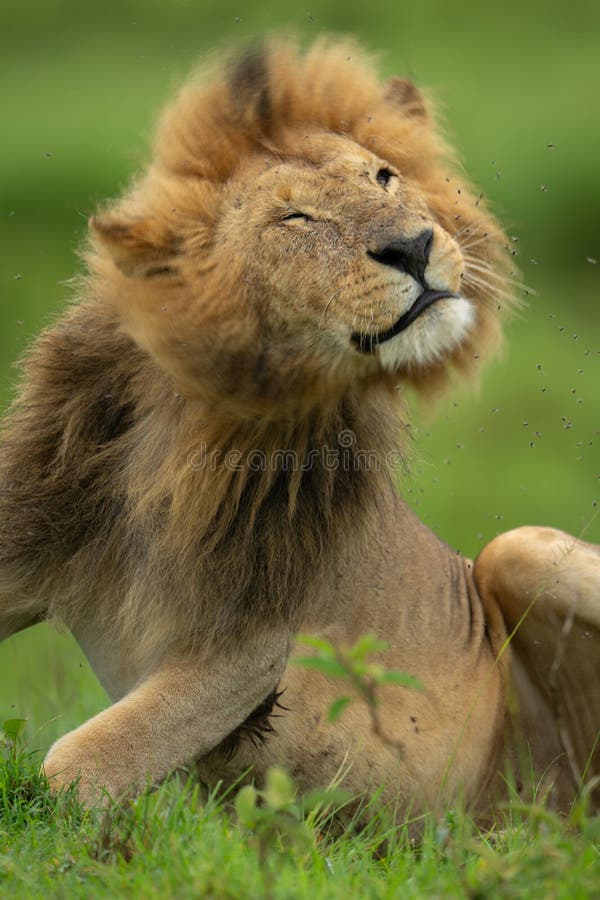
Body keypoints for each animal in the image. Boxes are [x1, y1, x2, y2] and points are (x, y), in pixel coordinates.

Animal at [0, 38, 598, 819]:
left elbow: (73, 765)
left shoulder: (249, 643)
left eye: (383, 176)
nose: (414, 244)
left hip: (519, 548)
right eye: (297, 220)